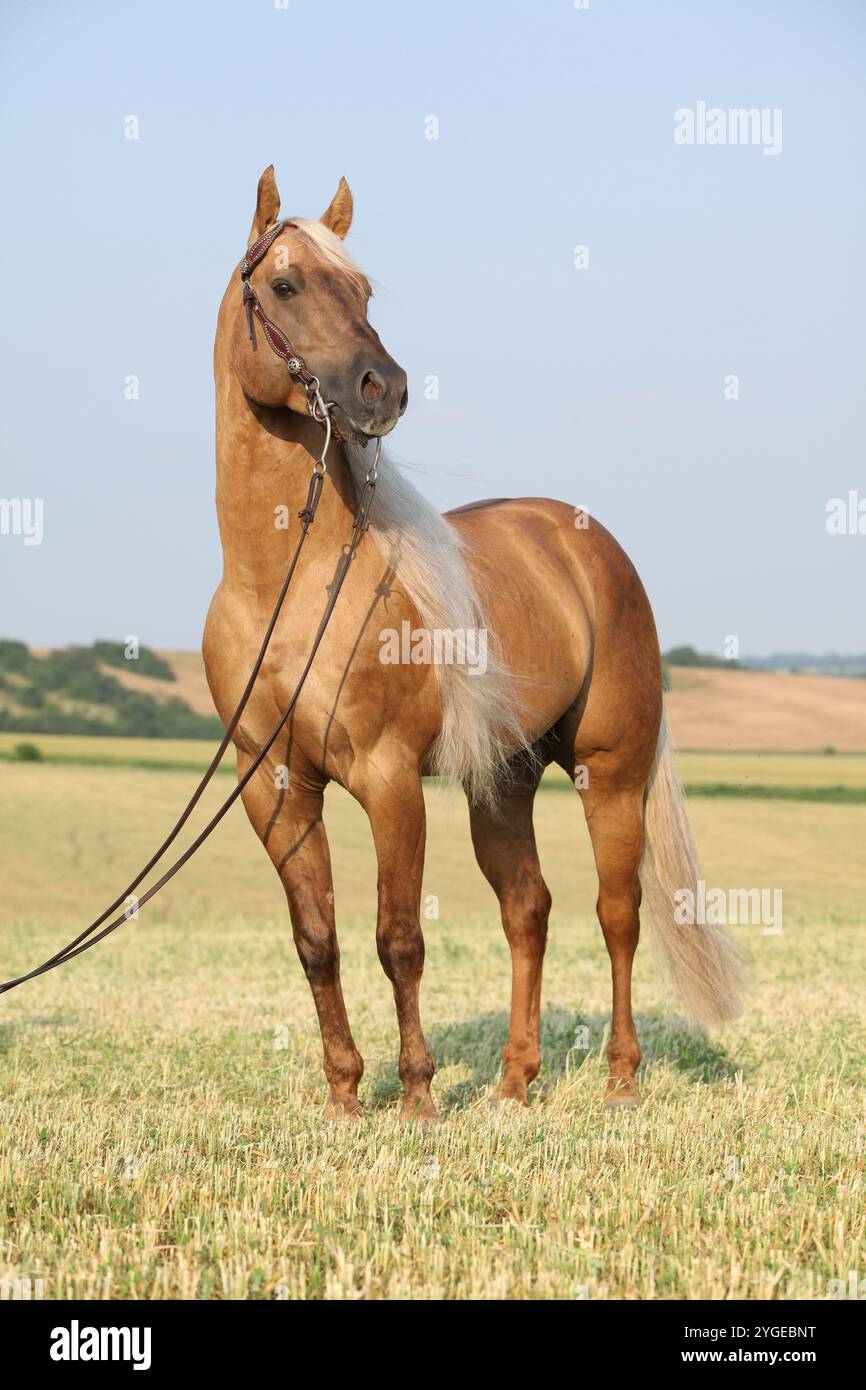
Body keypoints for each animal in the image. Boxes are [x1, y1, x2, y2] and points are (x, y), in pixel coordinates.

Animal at [203, 166, 746, 1122]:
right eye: (285, 285)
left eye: (365, 290)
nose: (383, 388)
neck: (284, 589)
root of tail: (583, 539)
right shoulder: (275, 788)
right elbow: (317, 941)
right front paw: (345, 1097)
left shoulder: (388, 779)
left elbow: (398, 939)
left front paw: (417, 1097)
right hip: (503, 781)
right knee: (528, 909)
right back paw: (515, 1080)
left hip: (610, 773)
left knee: (617, 913)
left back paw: (619, 1077)